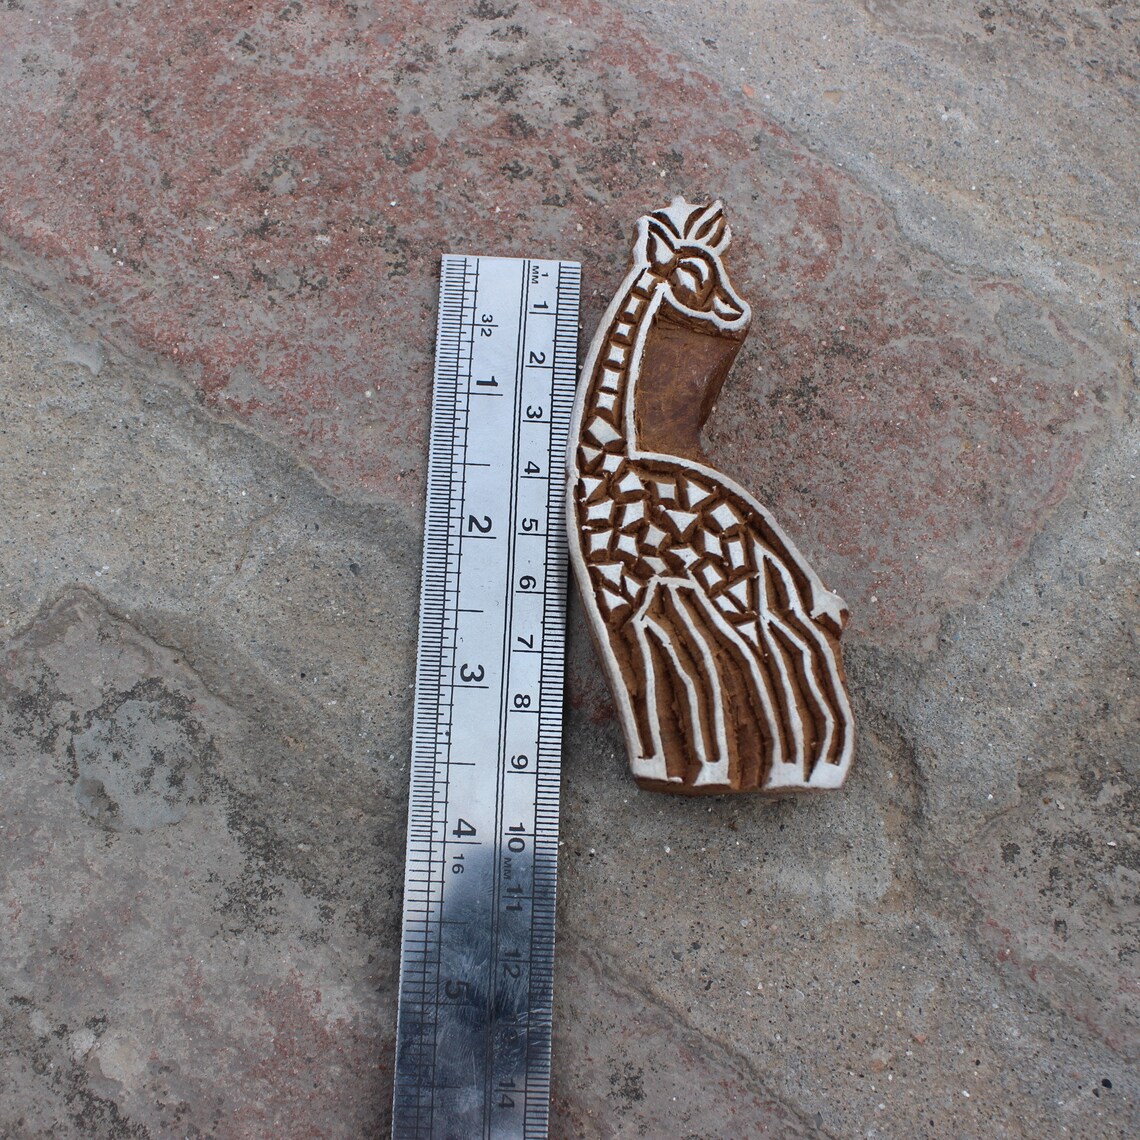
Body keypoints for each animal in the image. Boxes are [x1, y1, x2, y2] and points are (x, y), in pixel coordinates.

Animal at [566, 198, 855, 795]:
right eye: (694, 274)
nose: (737, 312)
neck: (606, 456)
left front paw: (673, 766)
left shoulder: (625, 591)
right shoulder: (621, 598)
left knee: (785, 650)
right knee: (790, 646)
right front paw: (666, 763)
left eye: (720, 270)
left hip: (734, 588)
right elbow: (646, 676)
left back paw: (797, 768)